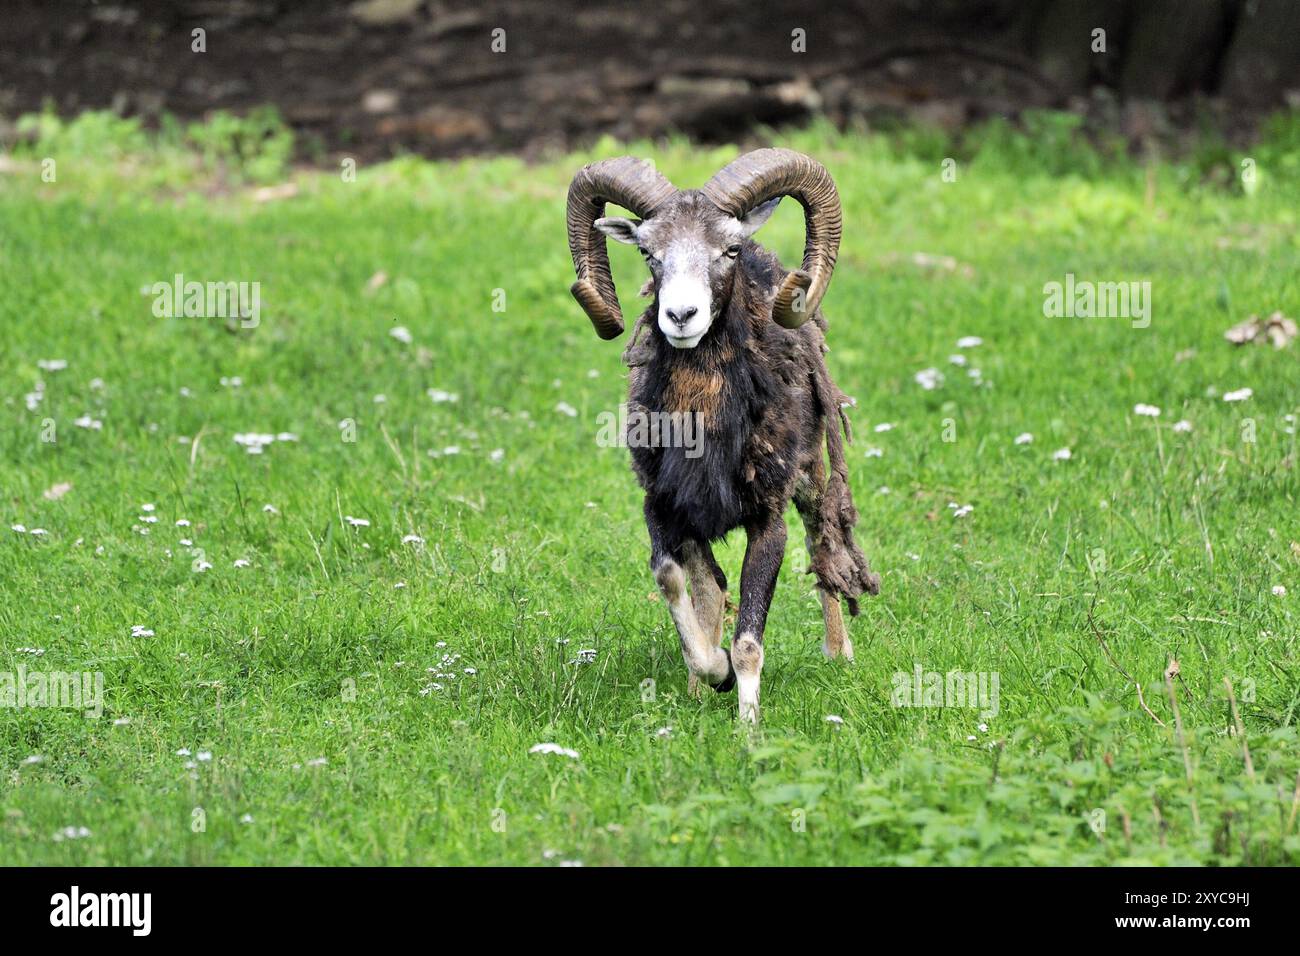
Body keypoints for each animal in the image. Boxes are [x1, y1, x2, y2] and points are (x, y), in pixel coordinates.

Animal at [565, 148, 880, 722]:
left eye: (728, 249)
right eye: (648, 253)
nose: (681, 315)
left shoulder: (767, 522)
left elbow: (749, 639)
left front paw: (747, 724)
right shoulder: (665, 508)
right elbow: (676, 581)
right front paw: (712, 673)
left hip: (810, 480)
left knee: (821, 541)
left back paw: (838, 653)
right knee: (710, 586)